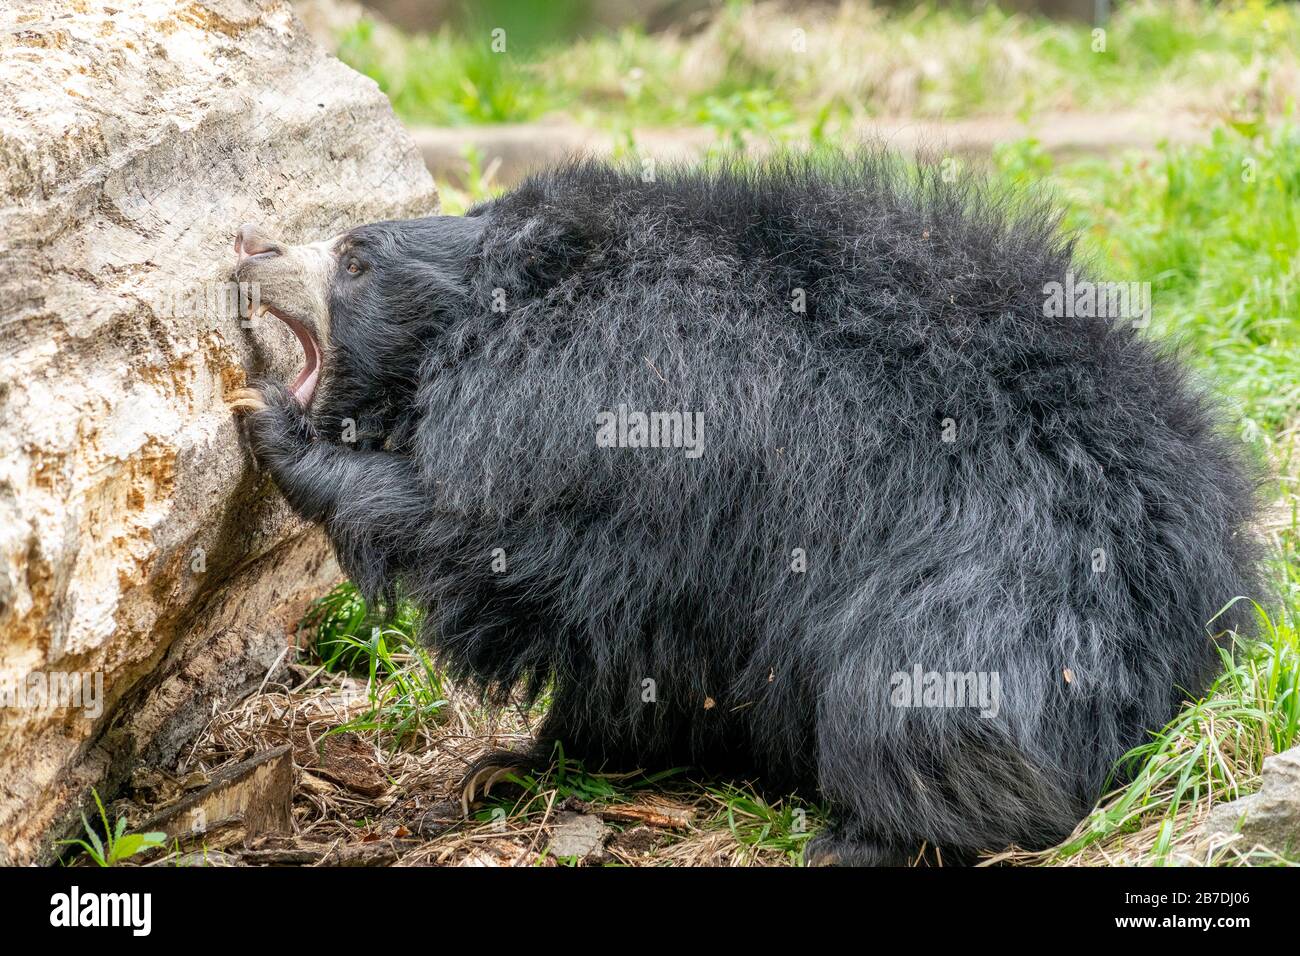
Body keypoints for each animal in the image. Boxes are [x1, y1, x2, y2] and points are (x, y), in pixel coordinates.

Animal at [229, 151, 1263, 865]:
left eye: (354, 258)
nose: (248, 245)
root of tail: (1213, 608)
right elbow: (639, 646)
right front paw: (519, 761)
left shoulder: (623, 424)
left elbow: (490, 540)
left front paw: (267, 420)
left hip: (1009, 582)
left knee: (924, 704)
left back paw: (872, 838)